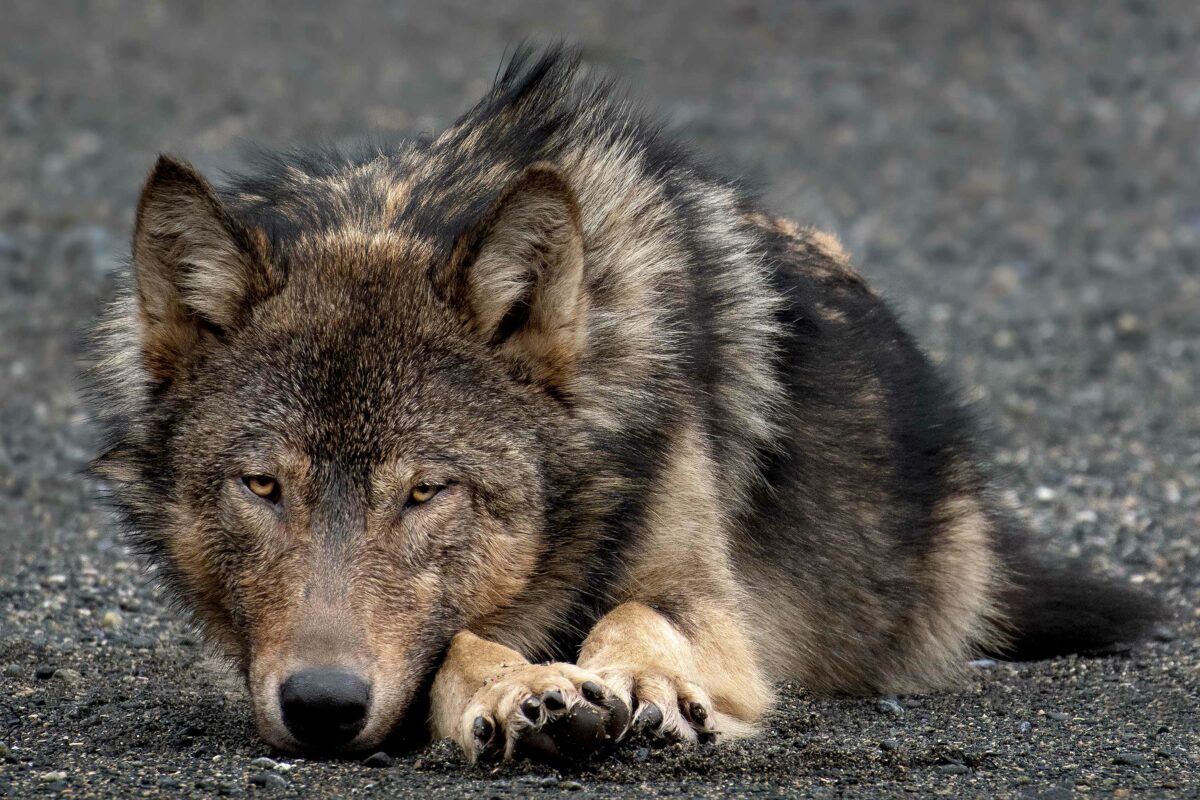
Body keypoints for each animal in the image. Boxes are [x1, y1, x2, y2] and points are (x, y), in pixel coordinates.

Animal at [88, 47, 1163, 762]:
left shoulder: (718, 613)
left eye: (427, 491)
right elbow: (459, 644)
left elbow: (641, 612)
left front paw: (636, 676)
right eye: (262, 486)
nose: (320, 707)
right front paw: (523, 691)